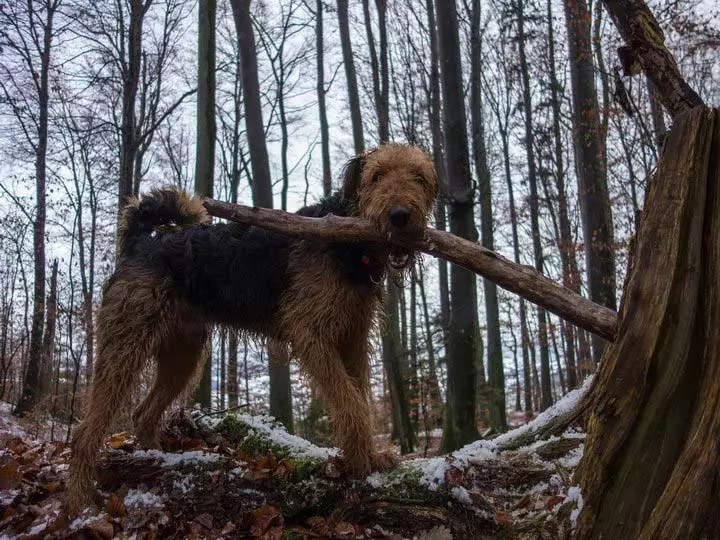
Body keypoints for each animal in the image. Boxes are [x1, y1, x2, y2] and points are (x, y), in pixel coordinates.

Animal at [69, 142, 438, 510]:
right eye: (376, 176)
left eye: (419, 178)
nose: (400, 216)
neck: (350, 248)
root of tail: (141, 242)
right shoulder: (312, 333)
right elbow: (350, 403)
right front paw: (362, 461)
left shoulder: (353, 339)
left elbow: (359, 398)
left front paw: (371, 458)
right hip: (125, 347)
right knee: (85, 430)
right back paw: (79, 498)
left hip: (183, 353)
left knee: (143, 413)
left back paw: (161, 462)